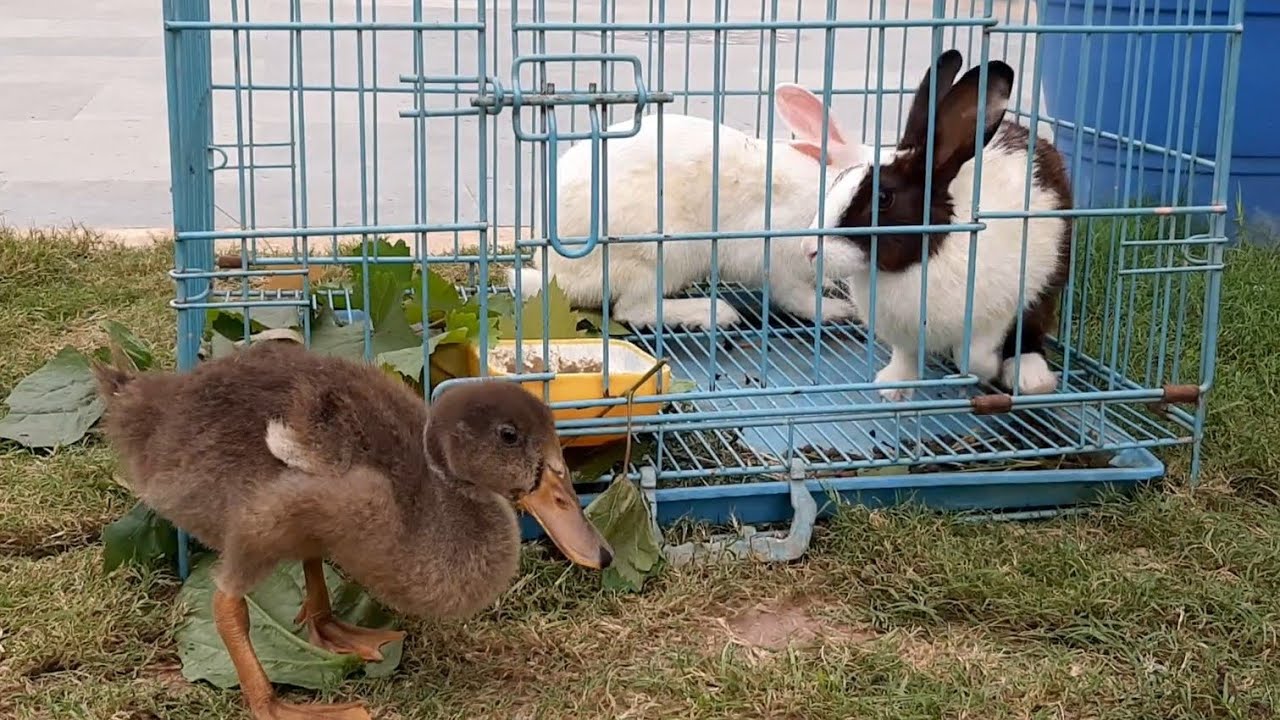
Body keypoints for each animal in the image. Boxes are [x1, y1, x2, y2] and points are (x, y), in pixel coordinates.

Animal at [506, 83, 885, 330]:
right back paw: (715, 313)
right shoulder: (775, 258)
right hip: (658, 257)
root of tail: (556, 274)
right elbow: (796, 297)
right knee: (633, 310)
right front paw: (837, 310)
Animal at [801, 50, 1074, 401]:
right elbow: (905, 356)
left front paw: (984, 371)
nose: (808, 250)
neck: (918, 262)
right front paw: (892, 386)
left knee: (1033, 329)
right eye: (839, 179)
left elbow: (974, 354)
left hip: (1050, 277)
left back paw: (1032, 379)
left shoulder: (999, 312)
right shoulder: (903, 335)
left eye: (883, 198)